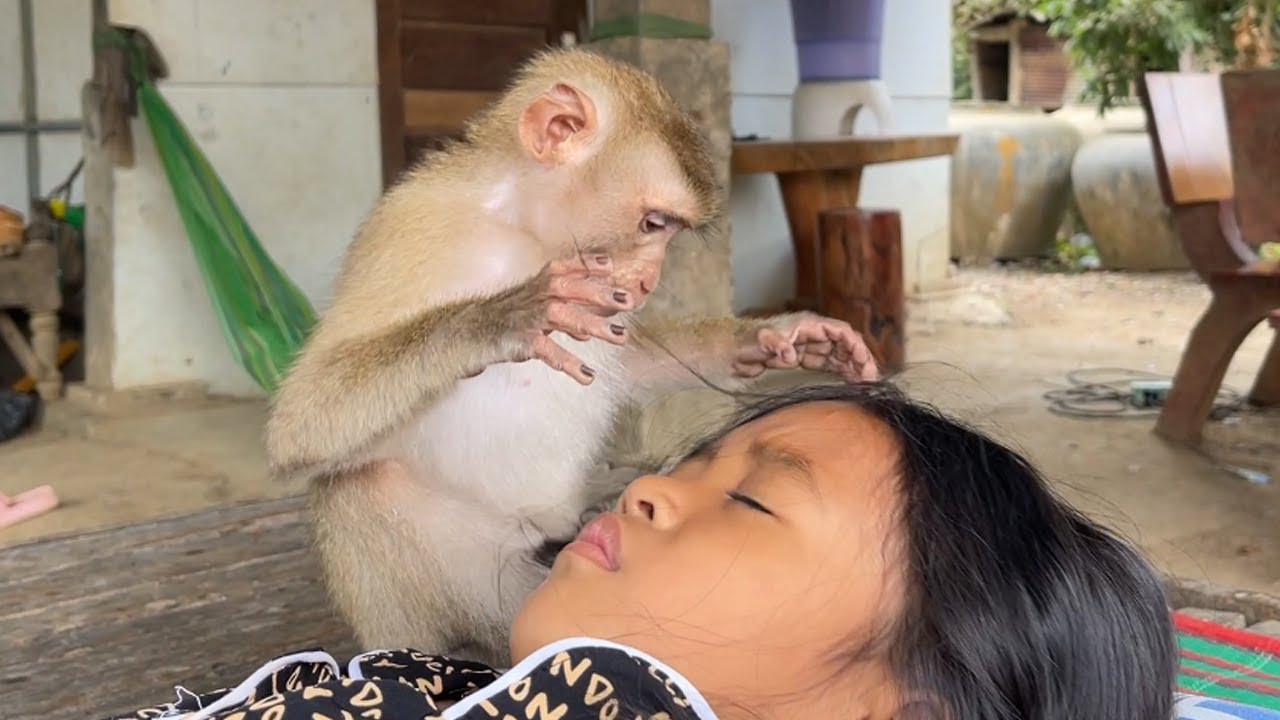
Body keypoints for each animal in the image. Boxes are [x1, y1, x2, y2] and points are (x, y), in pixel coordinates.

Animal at [264, 47, 880, 667]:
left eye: (670, 232)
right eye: (653, 224)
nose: (649, 281)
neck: (524, 231)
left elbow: (626, 357)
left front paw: (769, 338)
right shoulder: (414, 229)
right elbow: (301, 421)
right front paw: (505, 316)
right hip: (493, 579)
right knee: (359, 486)